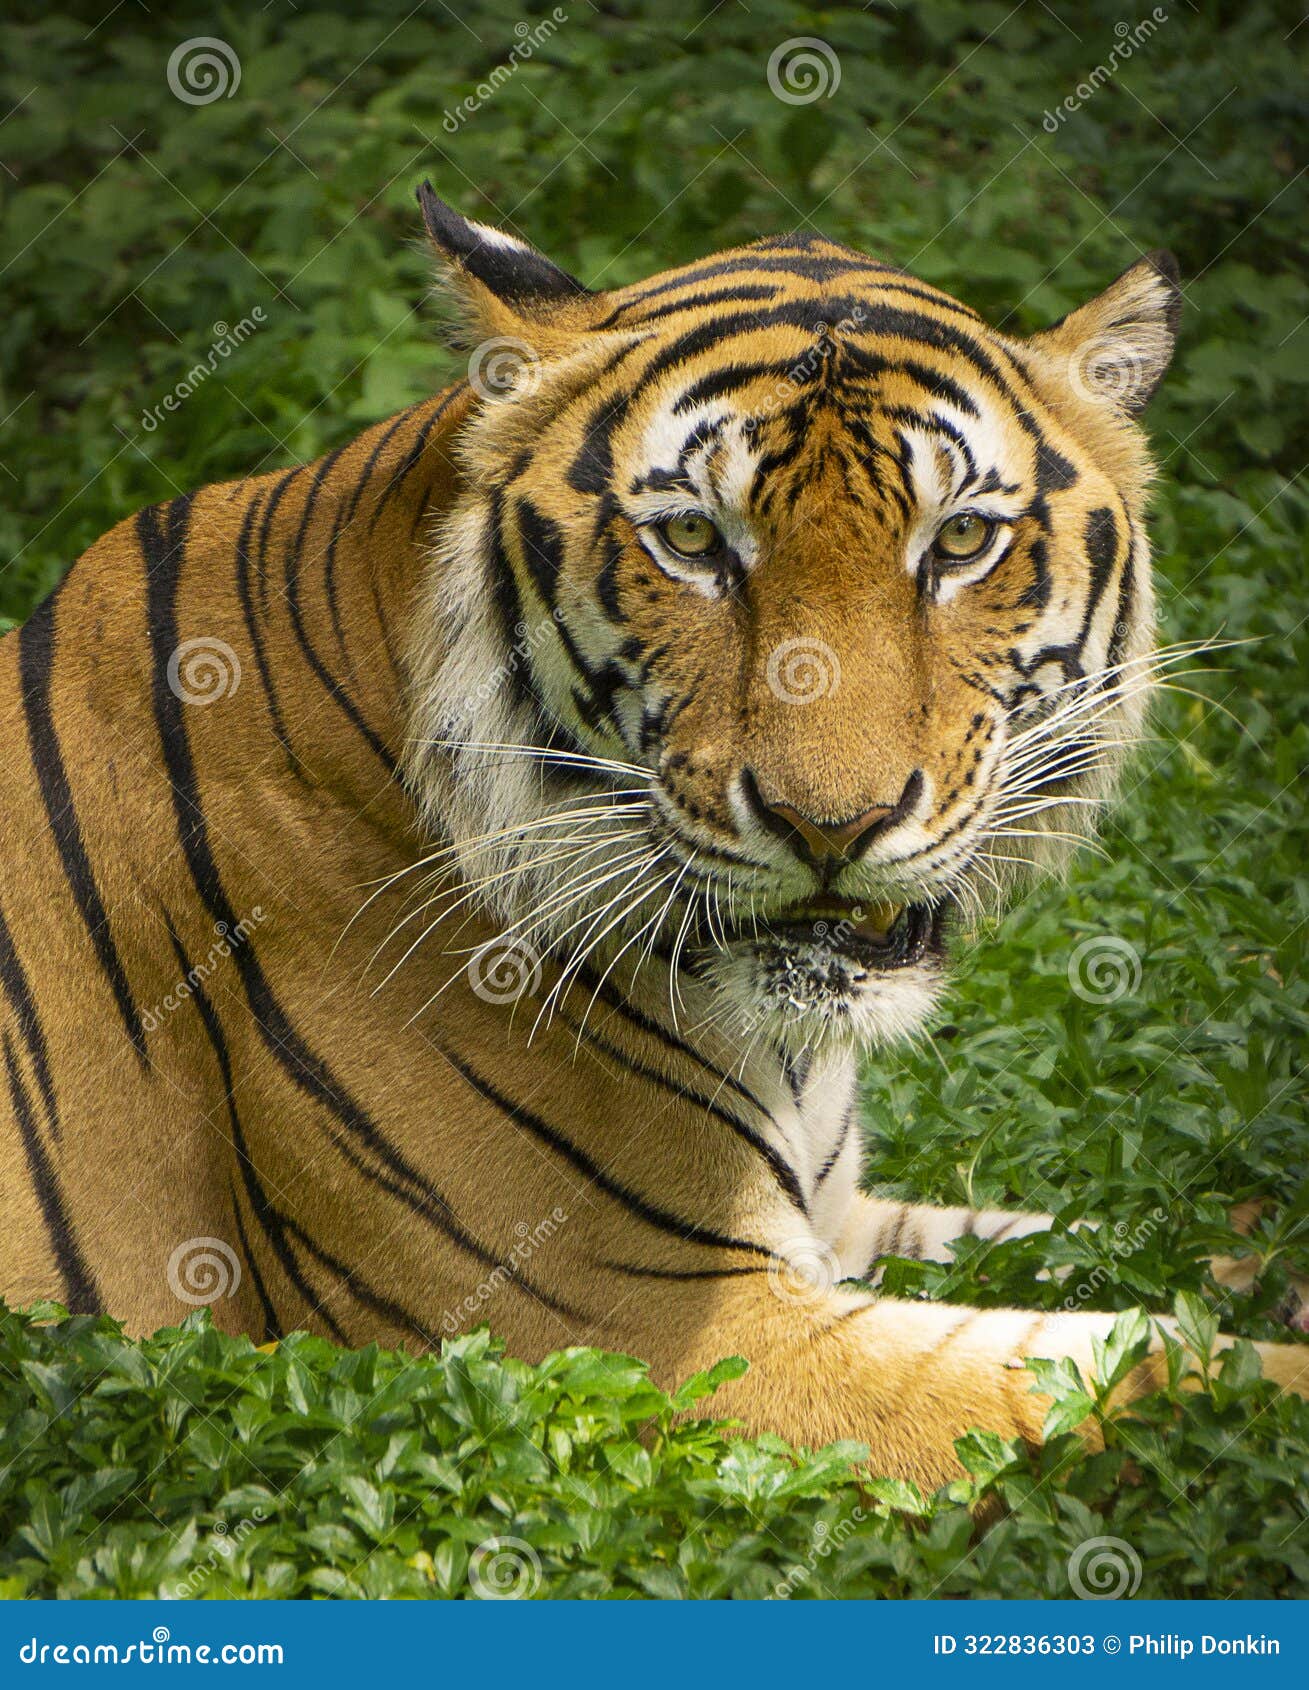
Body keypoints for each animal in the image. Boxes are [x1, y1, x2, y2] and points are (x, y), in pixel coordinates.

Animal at [1, 183, 1305, 1493]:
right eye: (691, 542)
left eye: (957, 541)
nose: (829, 822)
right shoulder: (646, 1317)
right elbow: (1174, 1368)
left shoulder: (839, 1222)